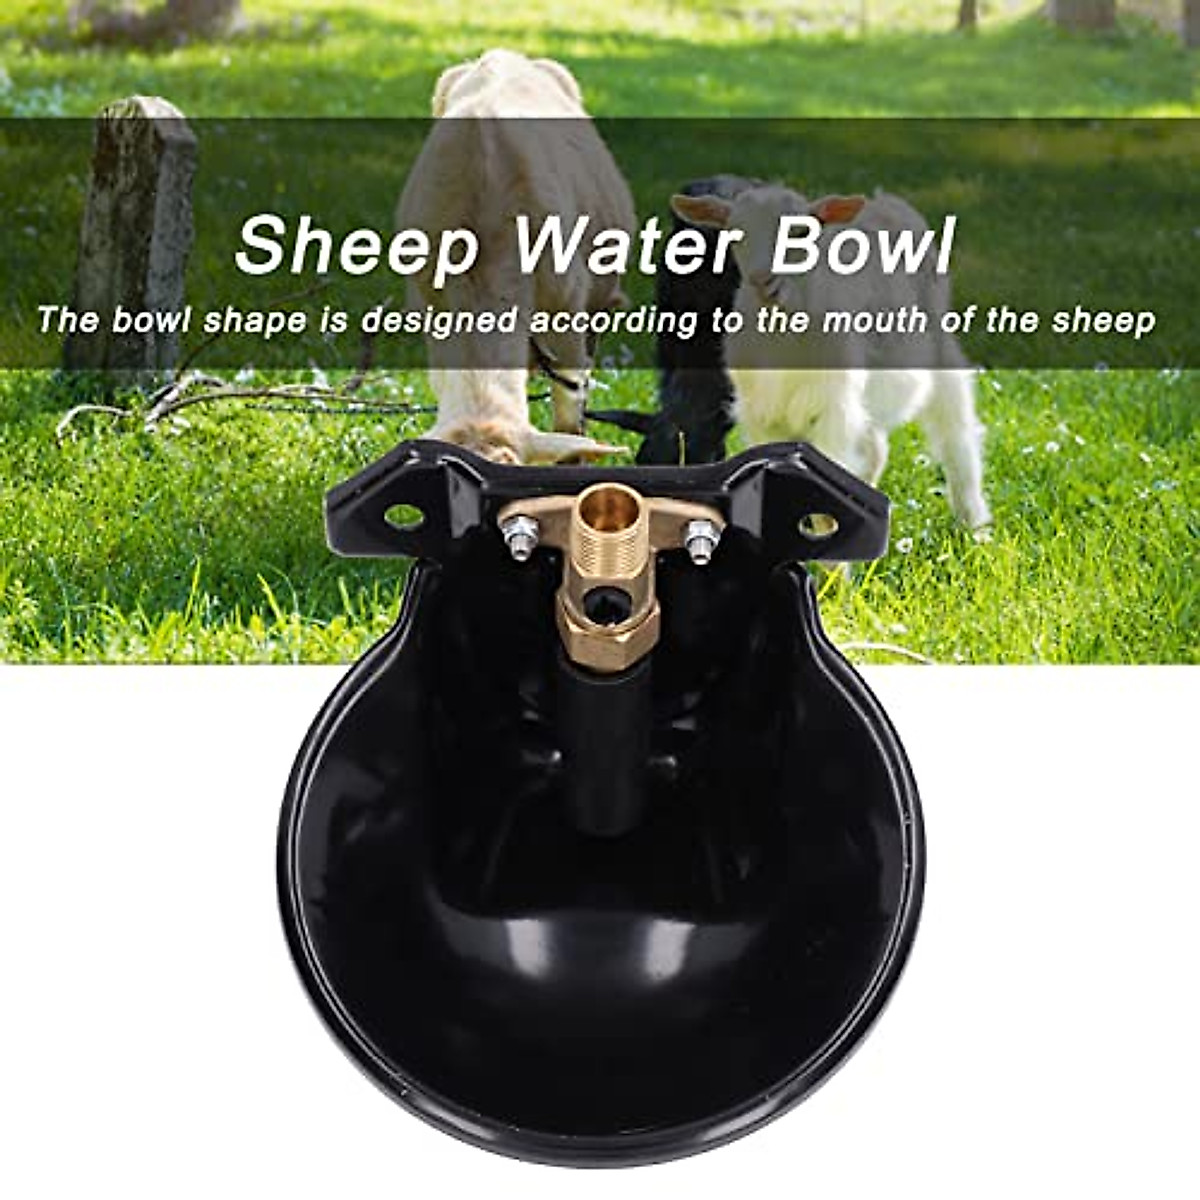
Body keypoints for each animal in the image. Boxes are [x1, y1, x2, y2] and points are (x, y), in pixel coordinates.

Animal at [671, 184, 992, 531]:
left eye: (800, 233)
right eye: (734, 234)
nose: (762, 282)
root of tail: (884, 202)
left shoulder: (832, 414)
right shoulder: (762, 418)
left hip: (938, 348)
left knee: (956, 433)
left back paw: (974, 524)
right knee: (875, 450)